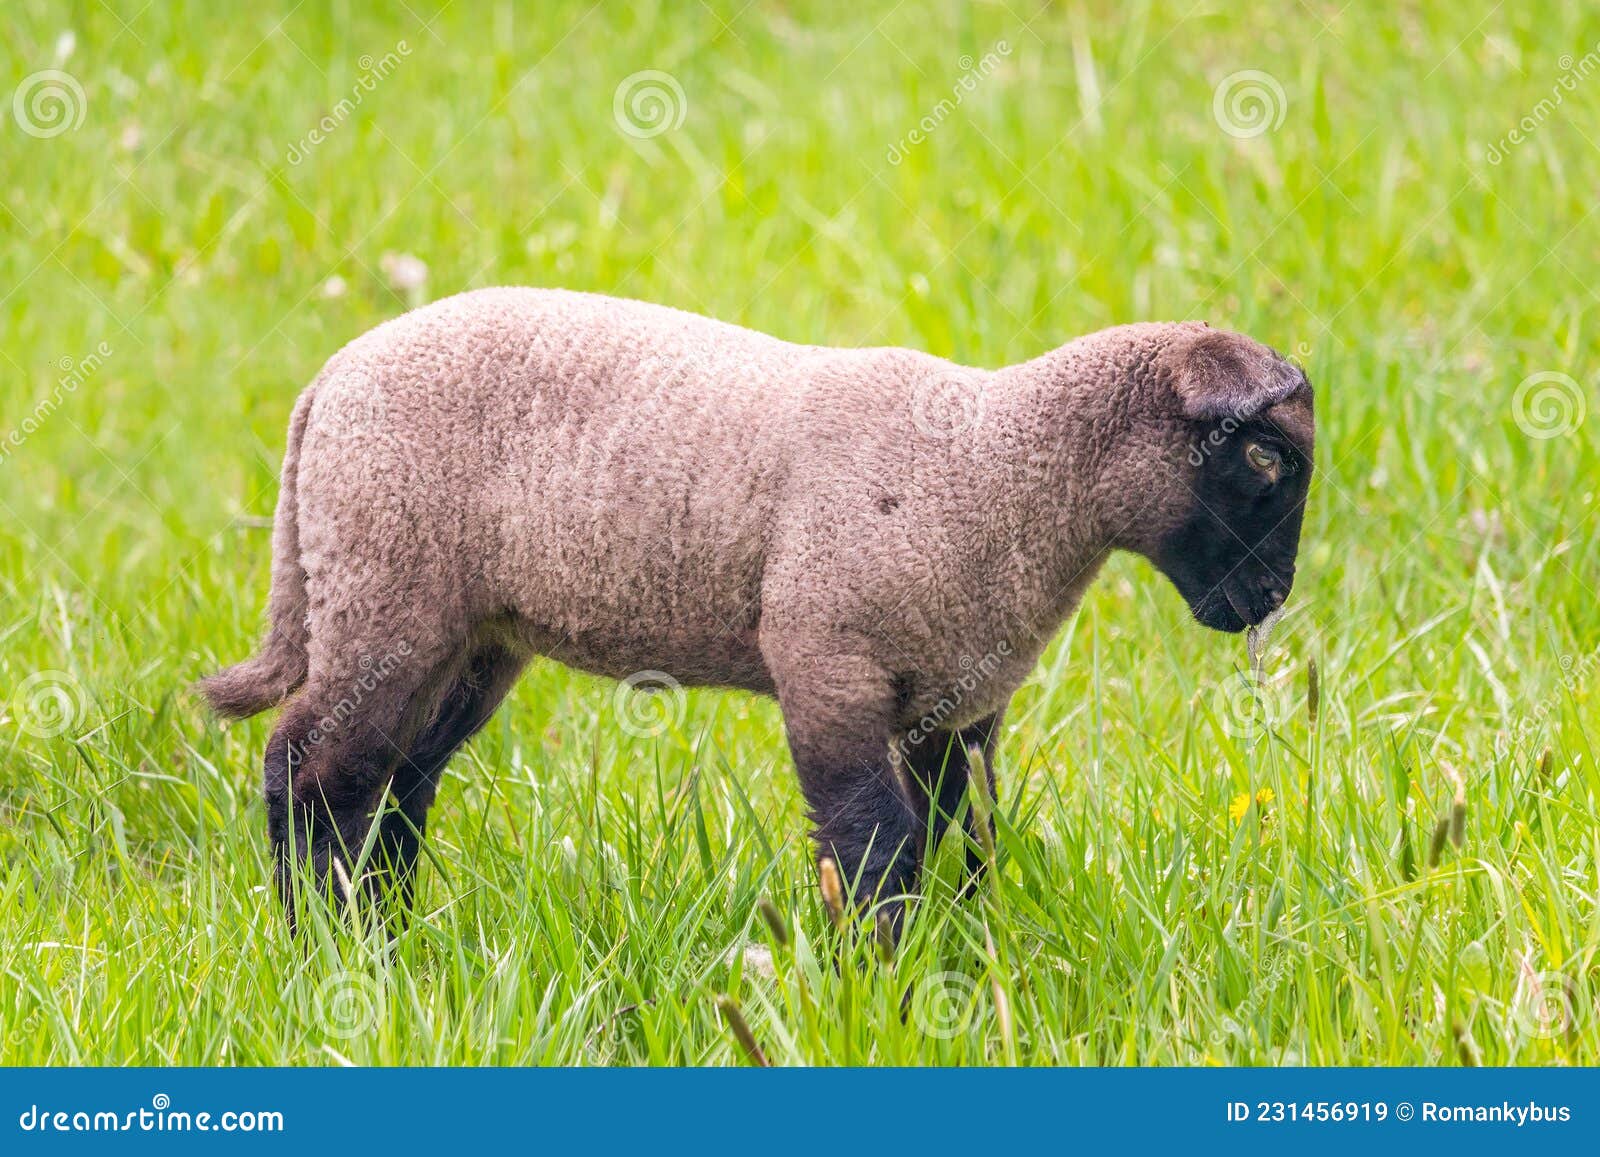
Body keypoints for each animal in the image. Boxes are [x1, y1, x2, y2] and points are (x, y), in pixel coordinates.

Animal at [200, 287, 1314, 928]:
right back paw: (327, 946)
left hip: (465, 635)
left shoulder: (955, 702)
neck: (998, 468)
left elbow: (962, 840)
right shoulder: (829, 666)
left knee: (397, 782)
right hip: (384, 591)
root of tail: (329, 381)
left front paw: (954, 961)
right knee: (311, 768)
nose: (1268, 599)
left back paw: (391, 932)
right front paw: (881, 977)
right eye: (1265, 458)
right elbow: (875, 845)